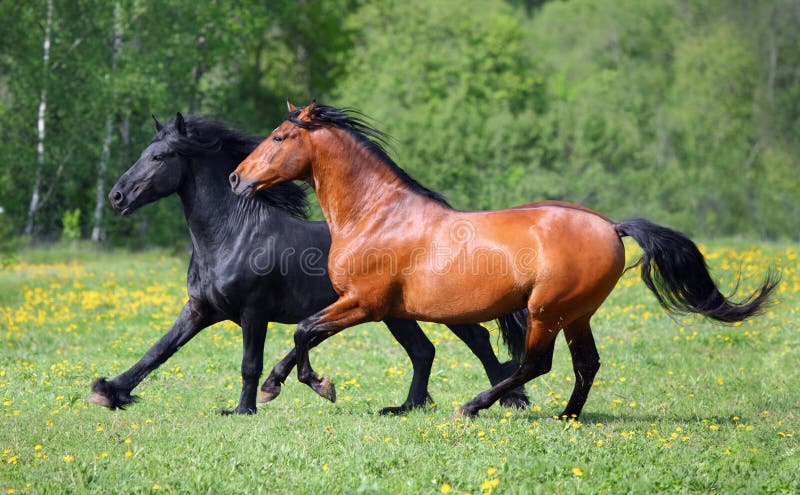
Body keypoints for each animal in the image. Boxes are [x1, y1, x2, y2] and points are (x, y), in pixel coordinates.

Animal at [88, 112, 529, 415]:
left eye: (160, 156)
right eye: (145, 153)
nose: (117, 196)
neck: (232, 236)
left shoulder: (254, 311)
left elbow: (250, 362)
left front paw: (244, 408)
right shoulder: (200, 309)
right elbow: (158, 350)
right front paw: (107, 392)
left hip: (431, 306)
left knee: (477, 341)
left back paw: (507, 399)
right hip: (394, 313)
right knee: (423, 351)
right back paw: (407, 407)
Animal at [229, 101, 779, 419]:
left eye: (279, 138)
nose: (236, 178)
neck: (377, 215)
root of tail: (611, 227)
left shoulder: (364, 303)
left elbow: (304, 332)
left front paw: (315, 386)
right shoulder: (366, 305)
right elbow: (305, 335)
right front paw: (280, 386)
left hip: (546, 311)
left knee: (535, 363)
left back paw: (474, 406)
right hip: (577, 314)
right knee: (585, 363)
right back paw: (566, 417)